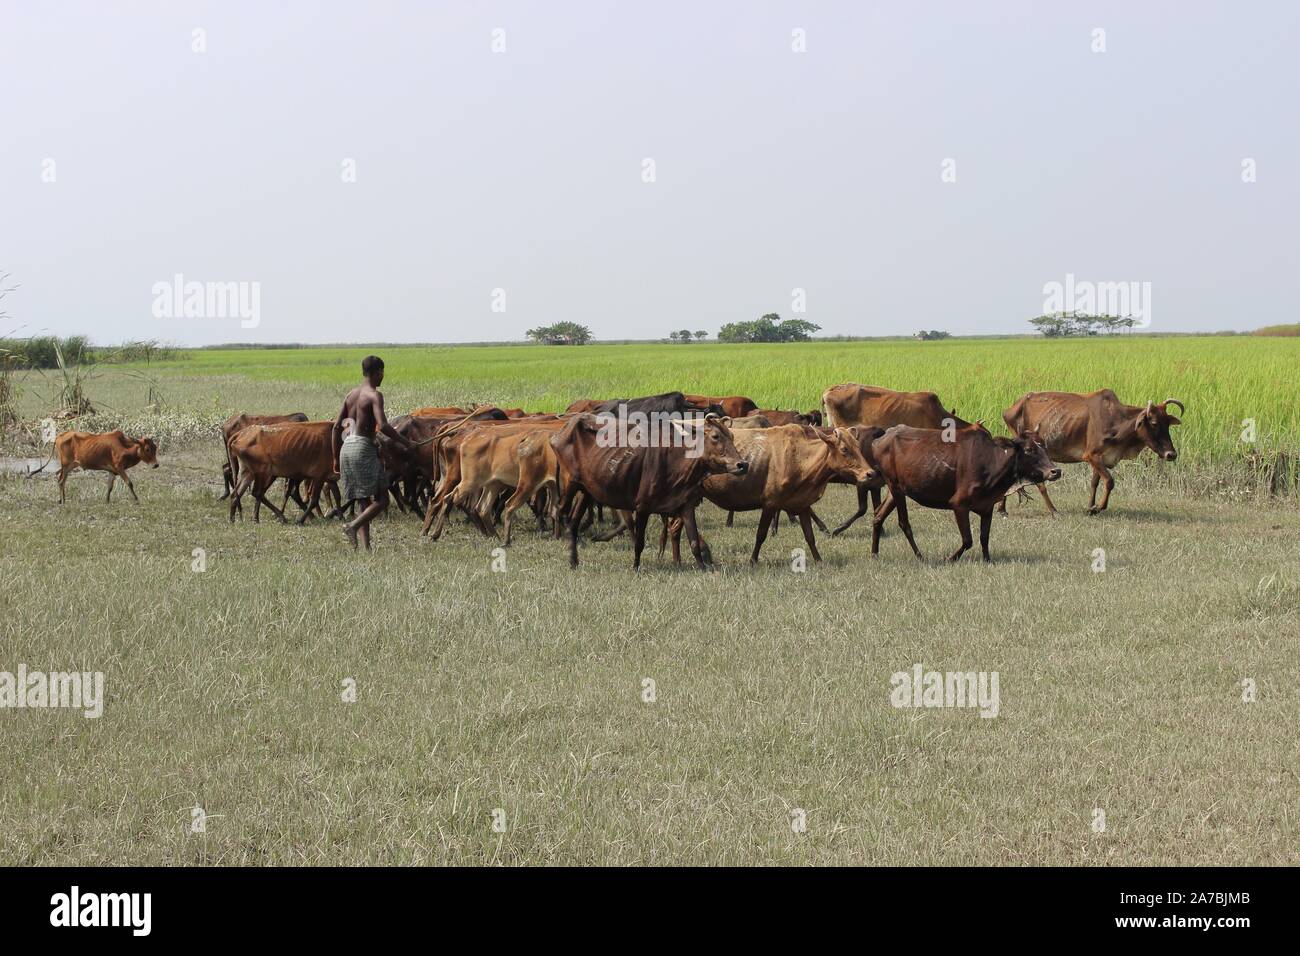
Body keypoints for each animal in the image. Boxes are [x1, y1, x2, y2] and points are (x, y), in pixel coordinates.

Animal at [550, 413, 747, 569]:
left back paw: (574, 561)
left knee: (574, 523)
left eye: (732, 436)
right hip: (570, 483)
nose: (742, 464)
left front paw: (703, 568)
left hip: (587, 490)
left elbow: (694, 543)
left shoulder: (686, 505)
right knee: (560, 512)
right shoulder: (643, 506)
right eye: (715, 436)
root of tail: (559, 433)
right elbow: (639, 543)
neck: (676, 460)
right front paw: (635, 567)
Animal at [664, 425, 874, 564]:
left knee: (674, 528)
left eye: (858, 447)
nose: (870, 473)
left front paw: (818, 560)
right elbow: (761, 535)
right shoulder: (770, 503)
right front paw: (753, 560)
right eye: (845, 449)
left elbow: (810, 536)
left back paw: (677, 561)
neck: (800, 459)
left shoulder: (803, 504)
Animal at [868, 423, 1060, 562]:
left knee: (878, 517)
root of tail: (879, 439)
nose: (1055, 471)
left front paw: (987, 560)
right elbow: (968, 540)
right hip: (895, 487)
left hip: (895, 491)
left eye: (1044, 447)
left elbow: (984, 537)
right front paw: (949, 558)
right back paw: (919, 556)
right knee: (903, 523)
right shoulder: (959, 504)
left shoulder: (987, 507)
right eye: (1029, 450)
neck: (992, 464)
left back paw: (874, 554)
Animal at [997, 391, 1185, 515]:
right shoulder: (1091, 455)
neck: (1117, 422)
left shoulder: (1101, 458)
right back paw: (1052, 510)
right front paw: (1098, 508)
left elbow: (1095, 482)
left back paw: (1002, 509)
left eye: (1168, 423)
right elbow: (1109, 481)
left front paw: (1090, 507)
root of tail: (1011, 408)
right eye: (1153, 422)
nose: (1171, 454)